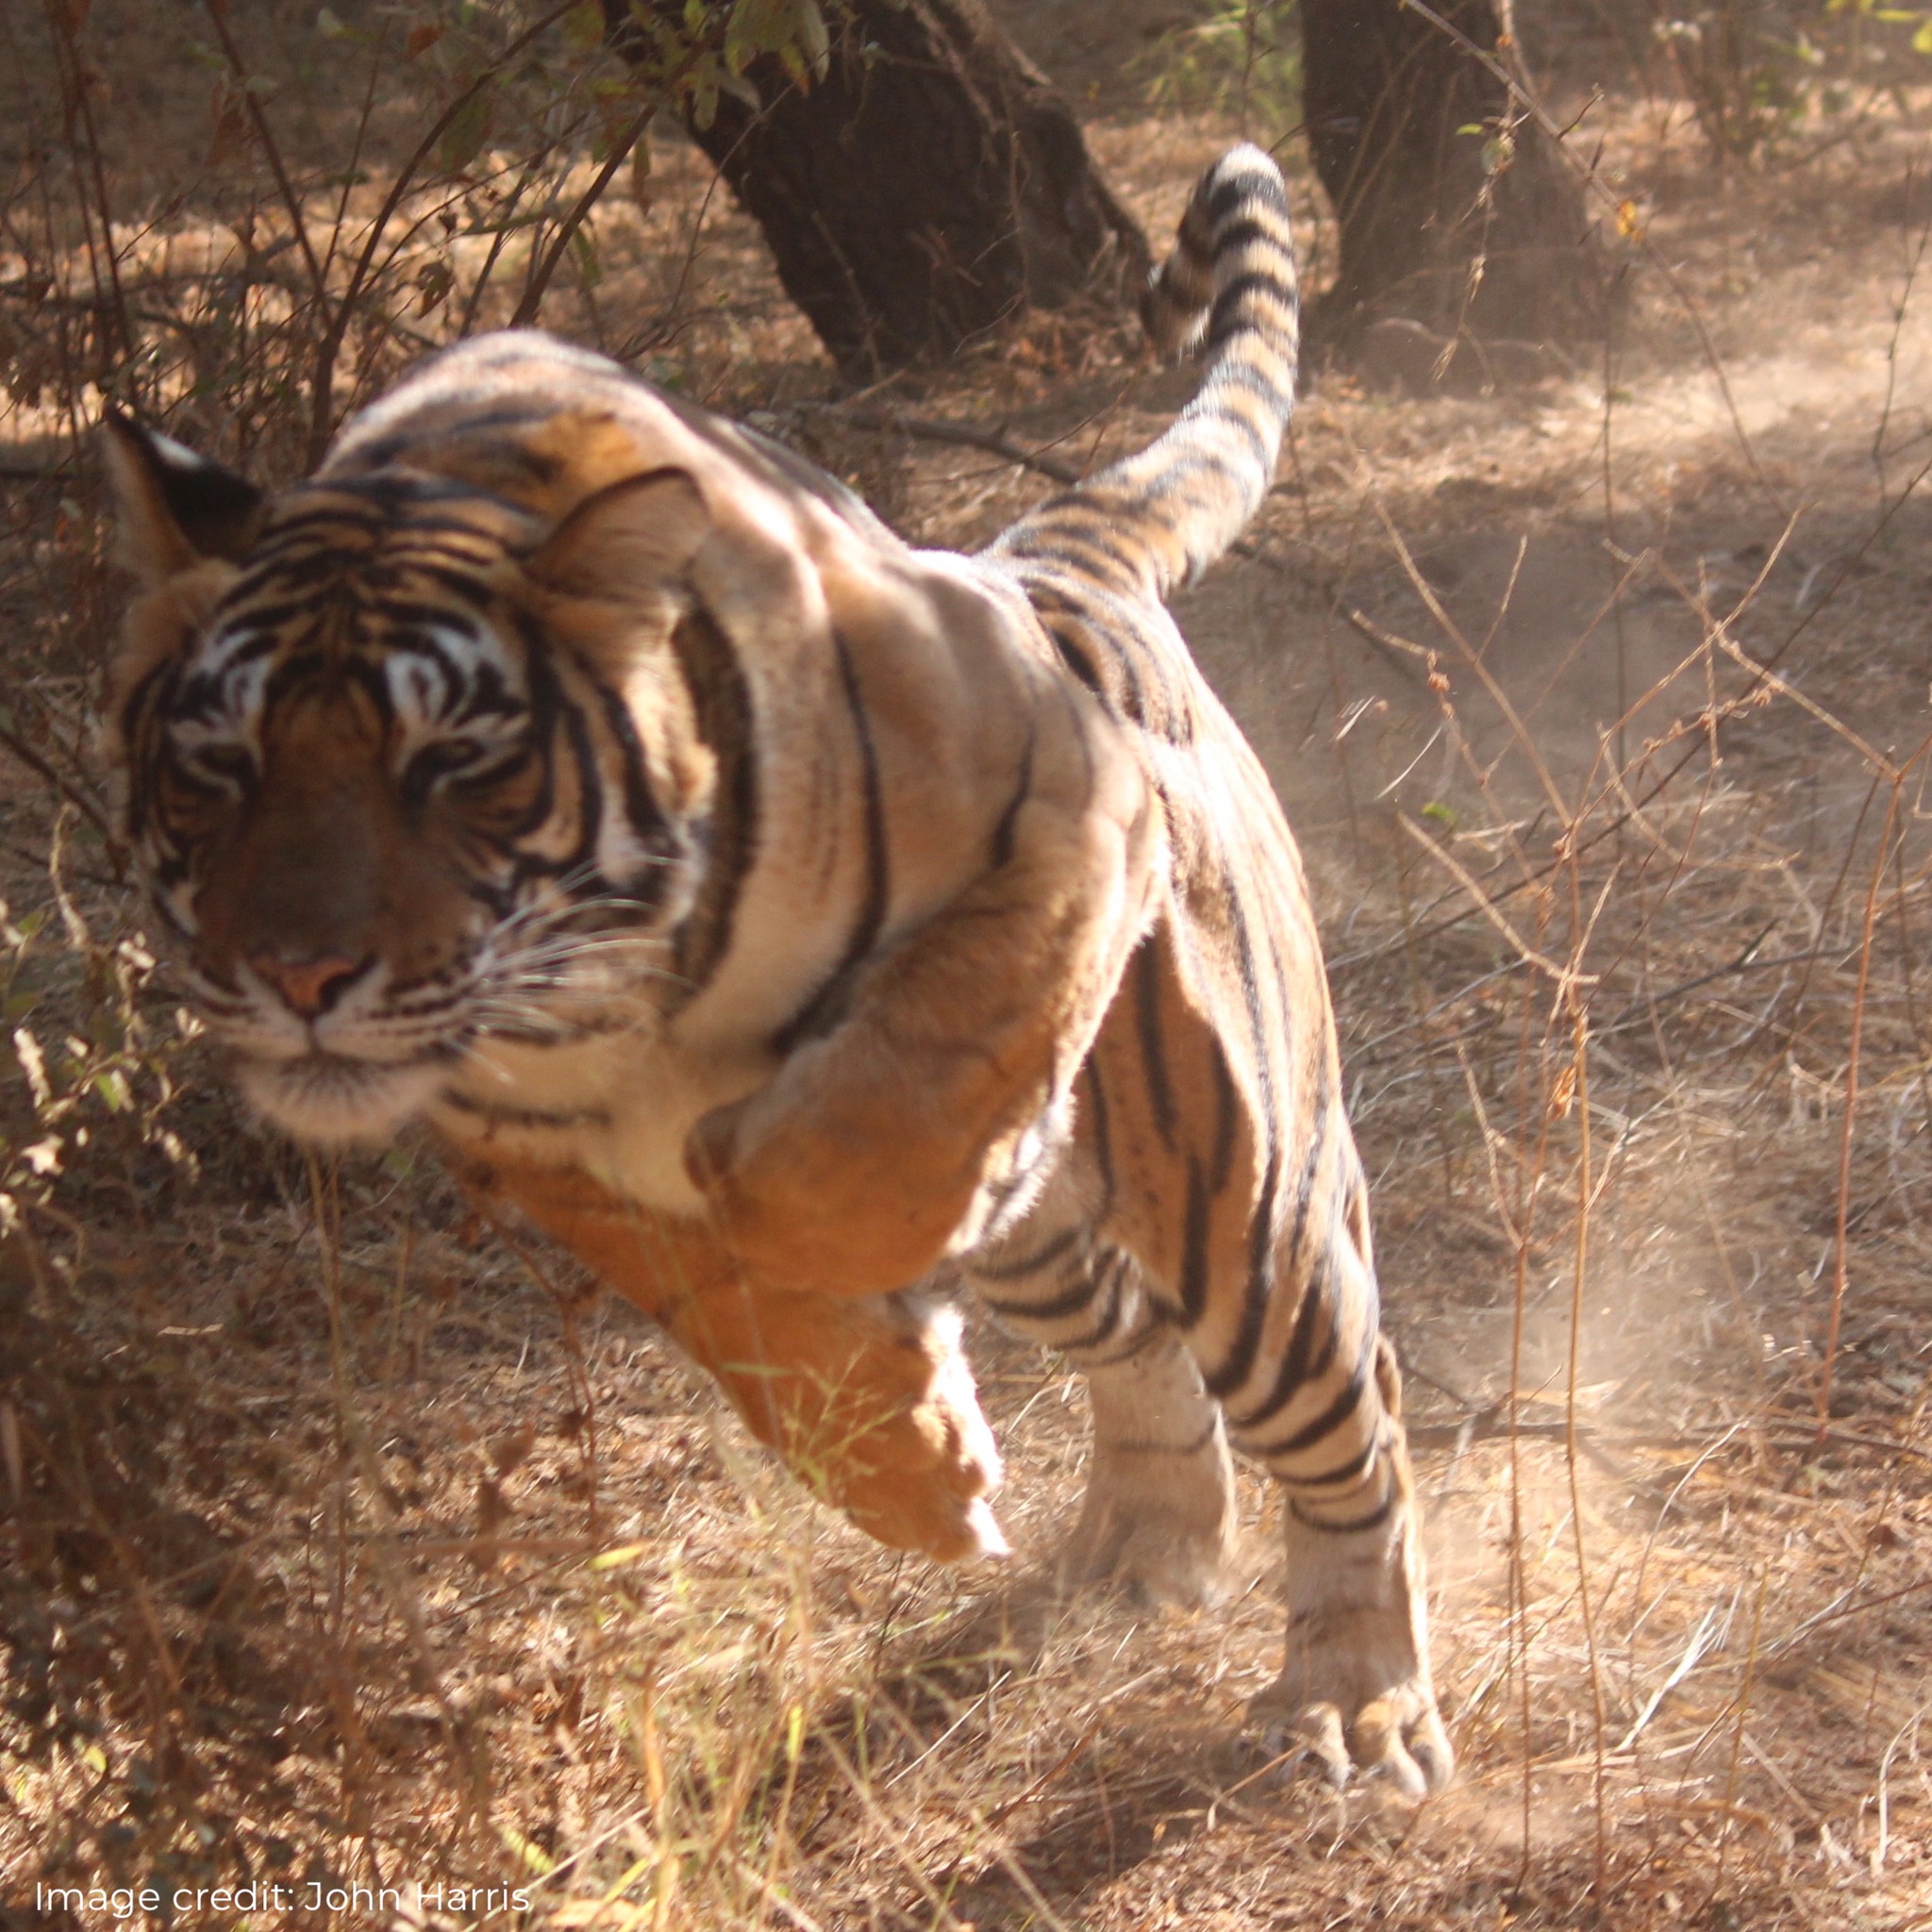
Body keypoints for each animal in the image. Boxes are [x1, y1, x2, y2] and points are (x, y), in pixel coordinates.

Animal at [100, 145, 1450, 1792]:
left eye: (454, 763)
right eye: (217, 767)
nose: (298, 976)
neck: (602, 1011)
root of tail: (1041, 555)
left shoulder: (1065, 813)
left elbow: (839, 1154)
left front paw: (843, 1285)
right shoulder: (521, 1139)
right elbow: (722, 1292)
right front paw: (906, 1457)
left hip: (1237, 1187)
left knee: (1346, 1414)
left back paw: (1355, 1696)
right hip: (1062, 1250)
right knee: (1133, 1339)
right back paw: (1150, 1544)